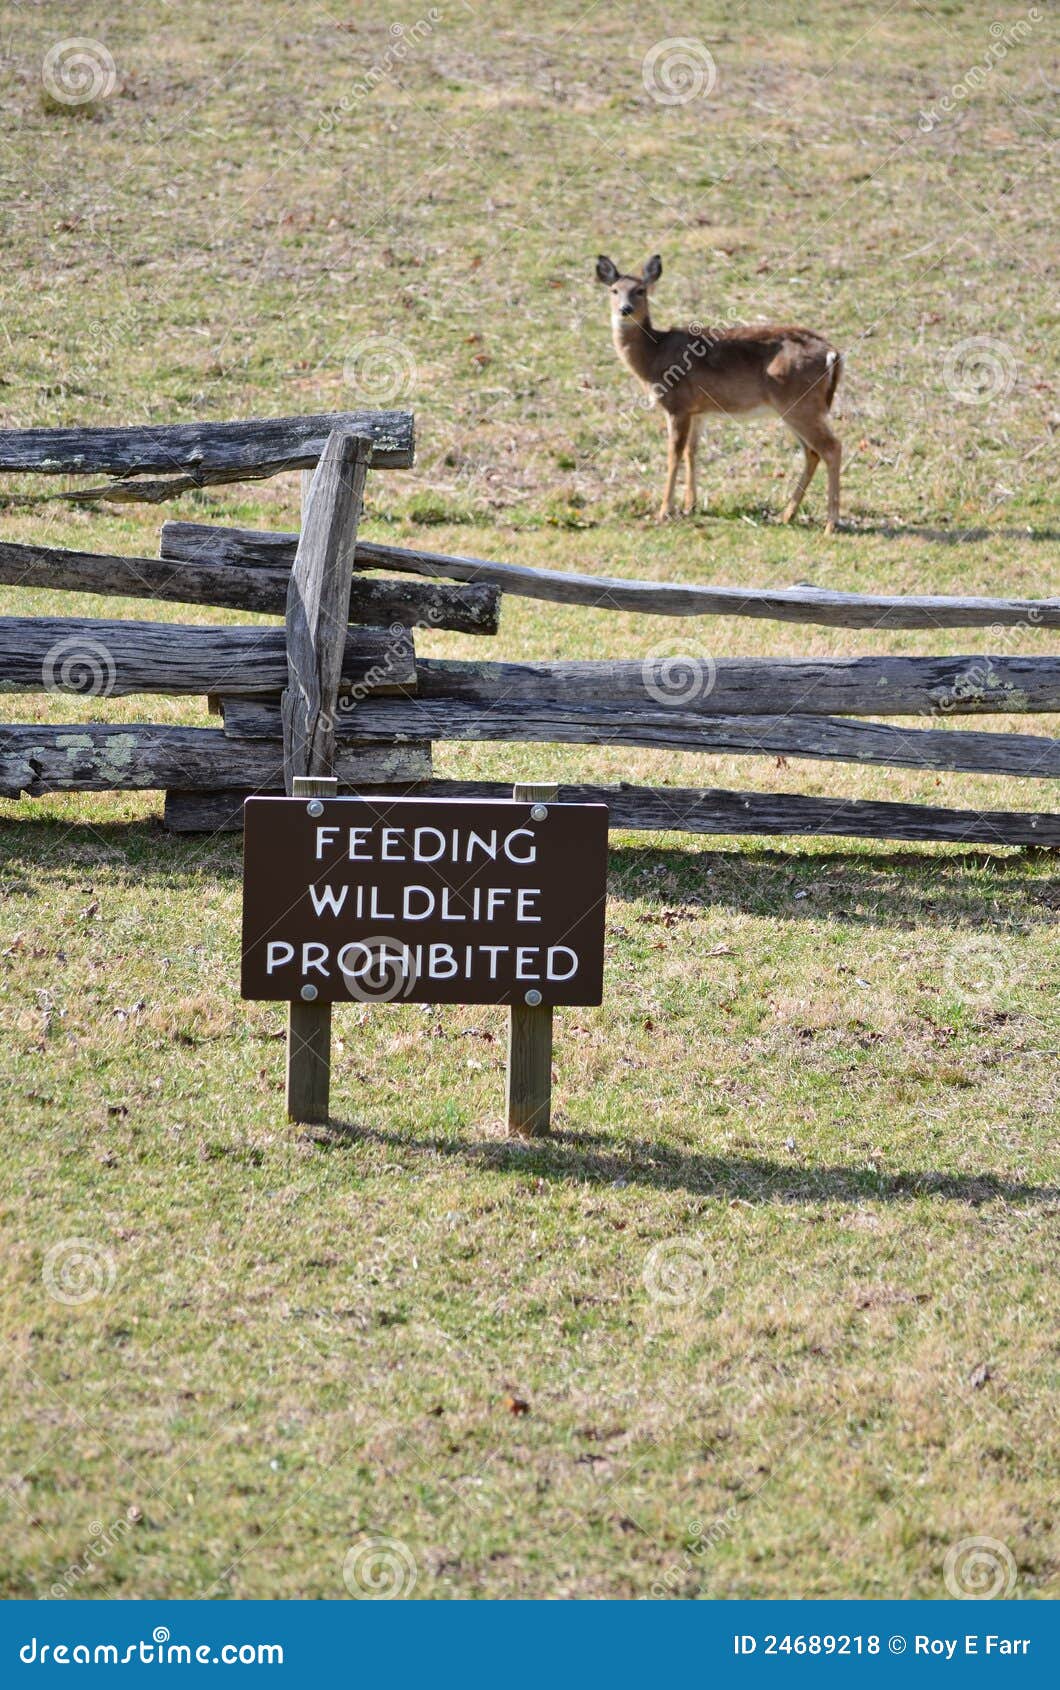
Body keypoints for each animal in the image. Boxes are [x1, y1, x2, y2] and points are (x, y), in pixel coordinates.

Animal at [595, 253, 843, 533]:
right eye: (614, 290)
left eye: (640, 290)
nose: (624, 309)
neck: (654, 356)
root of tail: (832, 353)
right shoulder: (698, 410)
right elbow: (692, 451)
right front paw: (689, 506)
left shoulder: (677, 405)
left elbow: (673, 454)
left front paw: (664, 511)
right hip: (796, 408)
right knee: (812, 452)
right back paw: (786, 515)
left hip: (801, 404)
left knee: (832, 448)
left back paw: (830, 524)